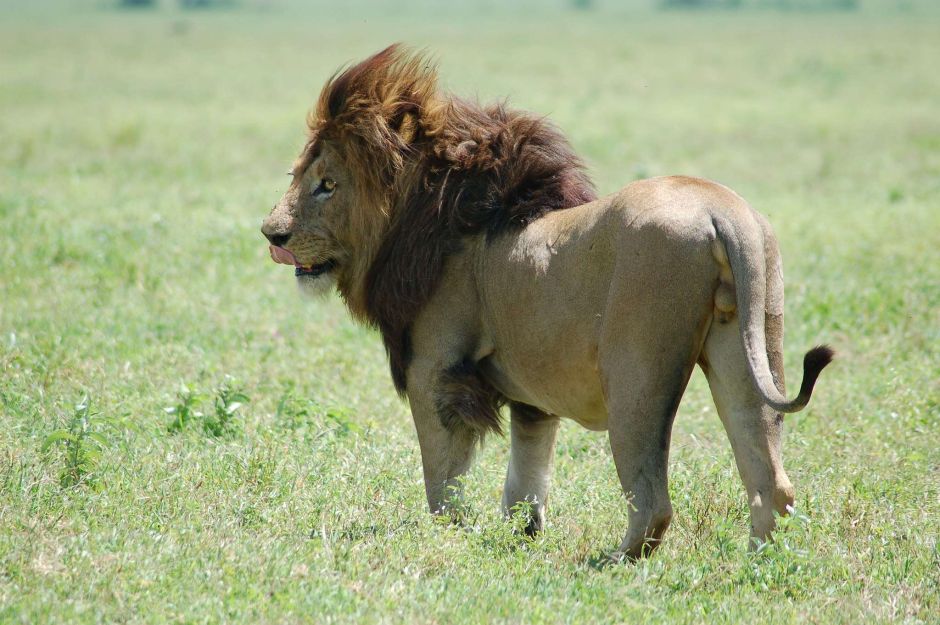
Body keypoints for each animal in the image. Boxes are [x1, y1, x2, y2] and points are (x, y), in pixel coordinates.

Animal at [261, 45, 833, 558]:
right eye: (297, 176)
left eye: (327, 185)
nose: (272, 234)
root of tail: (720, 211)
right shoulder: (529, 396)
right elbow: (526, 476)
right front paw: (520, 536)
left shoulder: (436, 373)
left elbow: (442, 477)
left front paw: (450, 536)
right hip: (750, 344)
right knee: (771, 479)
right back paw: (758, 561)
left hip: (635, 374)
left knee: (653, 501)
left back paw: (613, 560)